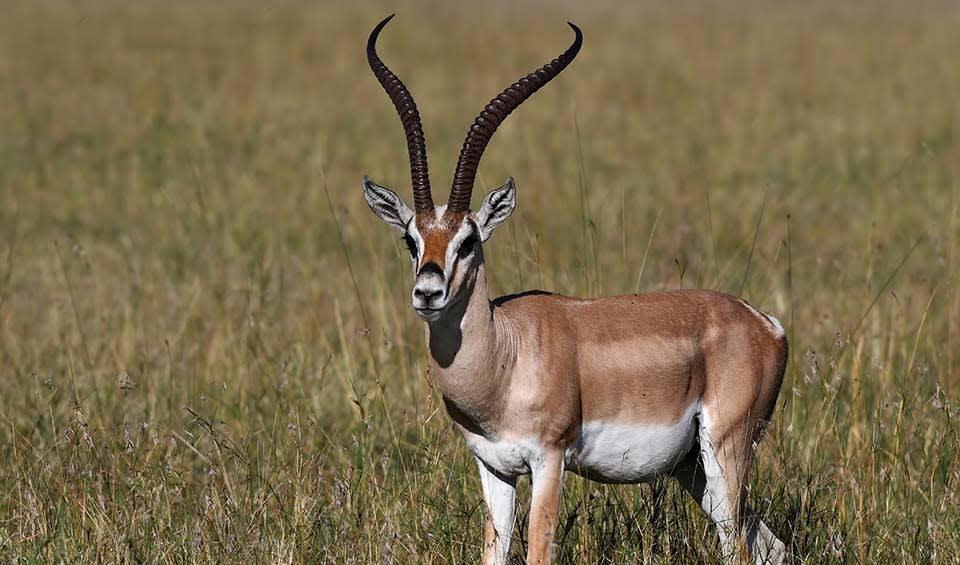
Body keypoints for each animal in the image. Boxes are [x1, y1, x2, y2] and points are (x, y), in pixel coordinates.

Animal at [361, 15, 788, 564]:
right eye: (410, 238)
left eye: (468, 239)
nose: (428, 292)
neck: (505, 354)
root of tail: (765, 323)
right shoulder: (494, 467)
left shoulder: (549, 459)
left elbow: (539, 549)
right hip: (692, 467)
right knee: (770, 544)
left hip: (726, 450)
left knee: (738, 545)